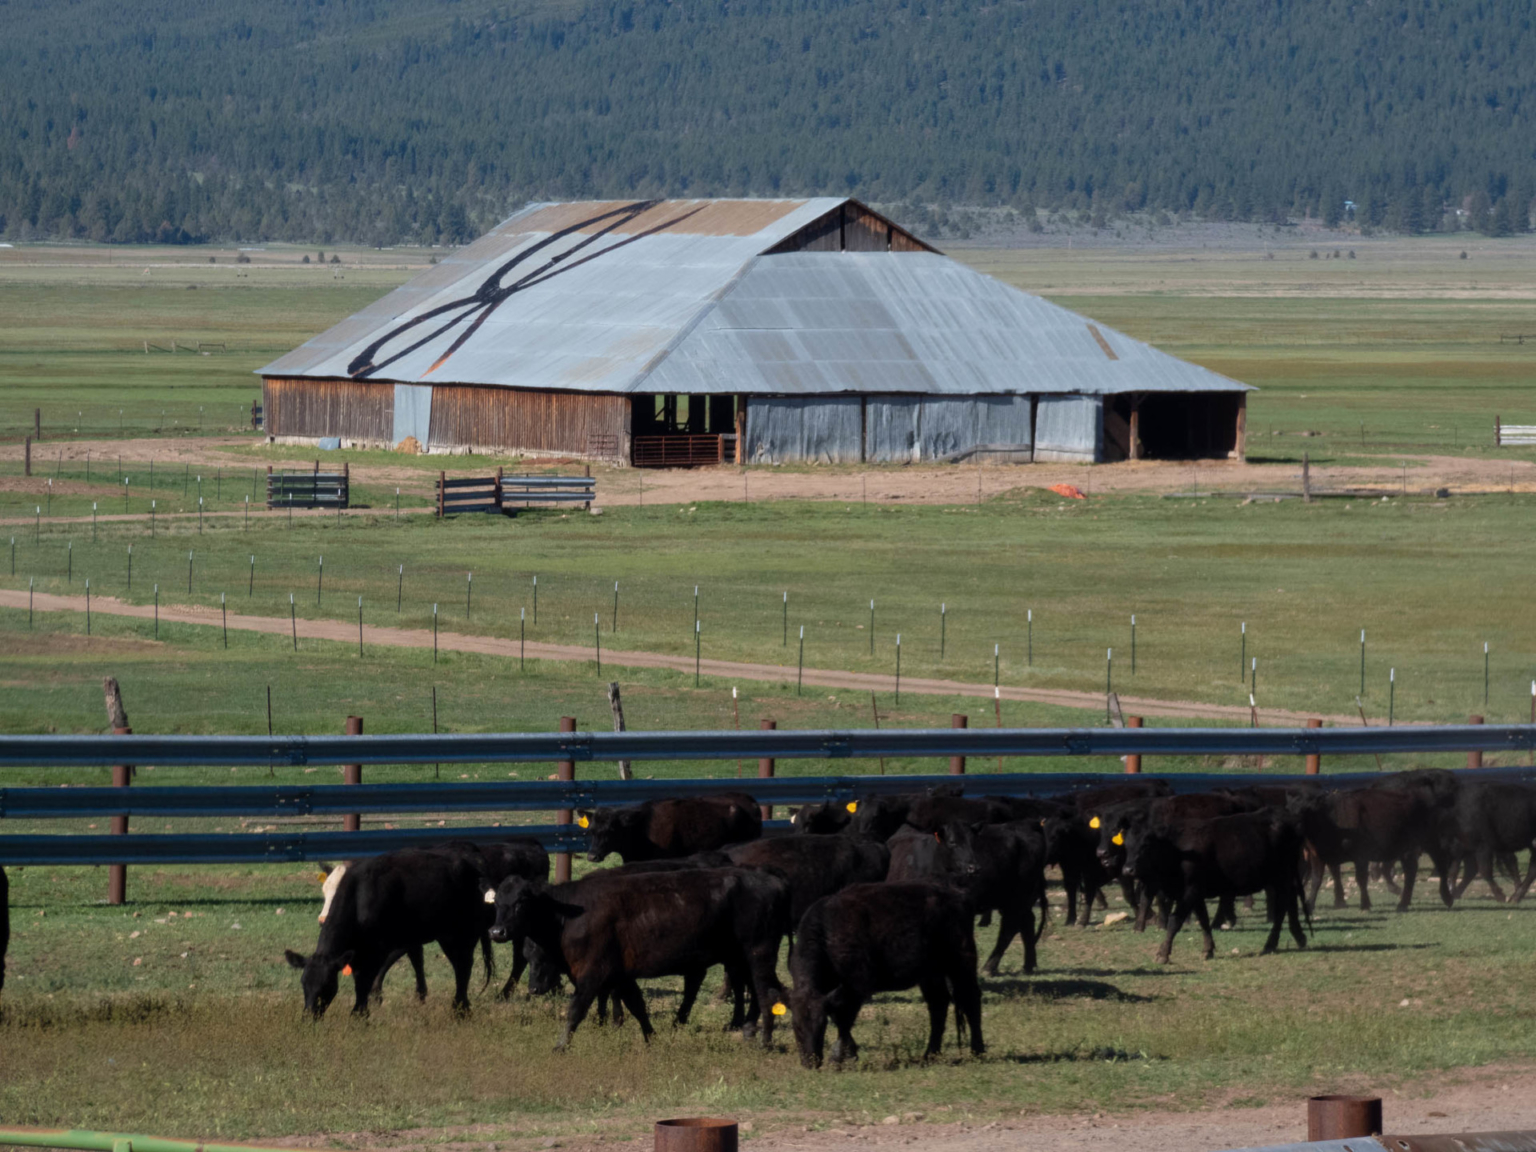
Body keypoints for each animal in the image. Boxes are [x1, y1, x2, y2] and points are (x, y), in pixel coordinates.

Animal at [284, 848, 489, 1017]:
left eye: (327, 984)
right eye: (303, 983)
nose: (309, 1014)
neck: (359, 898)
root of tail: (472, 867)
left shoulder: (377, 951)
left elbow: (364, 982)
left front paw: (360, 1014)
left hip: (462, 935)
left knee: (463, 968)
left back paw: (460, 1009)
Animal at [489, 867, 789, 1050]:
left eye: (521, 902)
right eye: (497, 902)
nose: (496, 931)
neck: (568, 915)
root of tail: (772, 881)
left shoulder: (593, 973)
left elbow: (576, 1010)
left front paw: (561, 1046)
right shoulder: (620, 975)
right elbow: (637, 1006)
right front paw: (651, 1038)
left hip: (758, 953)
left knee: (767, 993)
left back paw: (765, 1041)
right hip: (741, 958)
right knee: (757, 990)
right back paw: (749, 1031)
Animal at [788, 881, 984, 1068]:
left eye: (822, 1025)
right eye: (796, 1026)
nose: (810, 1061)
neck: (827, 934)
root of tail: (959, 895)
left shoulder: (856, 987)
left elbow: (843, 1019)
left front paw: (840, 1056)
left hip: (961, 962)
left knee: (970, 999)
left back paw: (978, 1051)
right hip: (931, 973)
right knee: (938, 1004)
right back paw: (930, 1055)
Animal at [1117, 811, 1309, 963]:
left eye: (1146, 845)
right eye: (1127, 845)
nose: (1127, 869)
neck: (1176, 850)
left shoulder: (1189, 891)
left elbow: (1175, 921)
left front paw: (1163, 954)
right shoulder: (1196, 893)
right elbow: (1203, 920)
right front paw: (1208, 949)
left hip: (1281, 877)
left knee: (1282, 907)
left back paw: (1271, 944)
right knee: (1291, 901)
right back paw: (1299, 937)